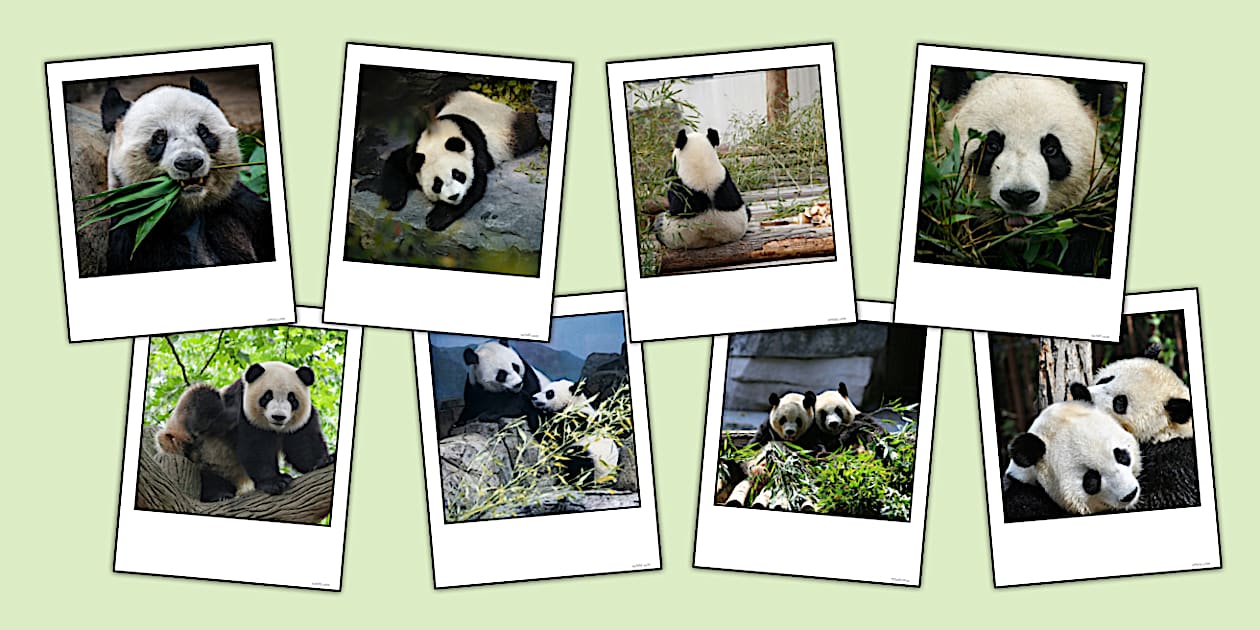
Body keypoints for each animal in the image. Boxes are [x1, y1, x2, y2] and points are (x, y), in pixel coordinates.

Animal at [99, 76, 274, 275]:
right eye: (160, 138)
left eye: (203, 131)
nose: (189, 162)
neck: (190, 208)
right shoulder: (139, 232)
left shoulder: (240, 208)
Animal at [376, 90, 544, 231]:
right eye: (437, 184)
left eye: (457, 174)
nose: (454, 196)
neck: (440, 137)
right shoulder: (416, 151)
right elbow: (397, 162)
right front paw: (392, 201)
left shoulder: (475, 153)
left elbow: (475, 185)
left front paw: (435, 218)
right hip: (440, 103)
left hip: (510, 131)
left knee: (528, 129)